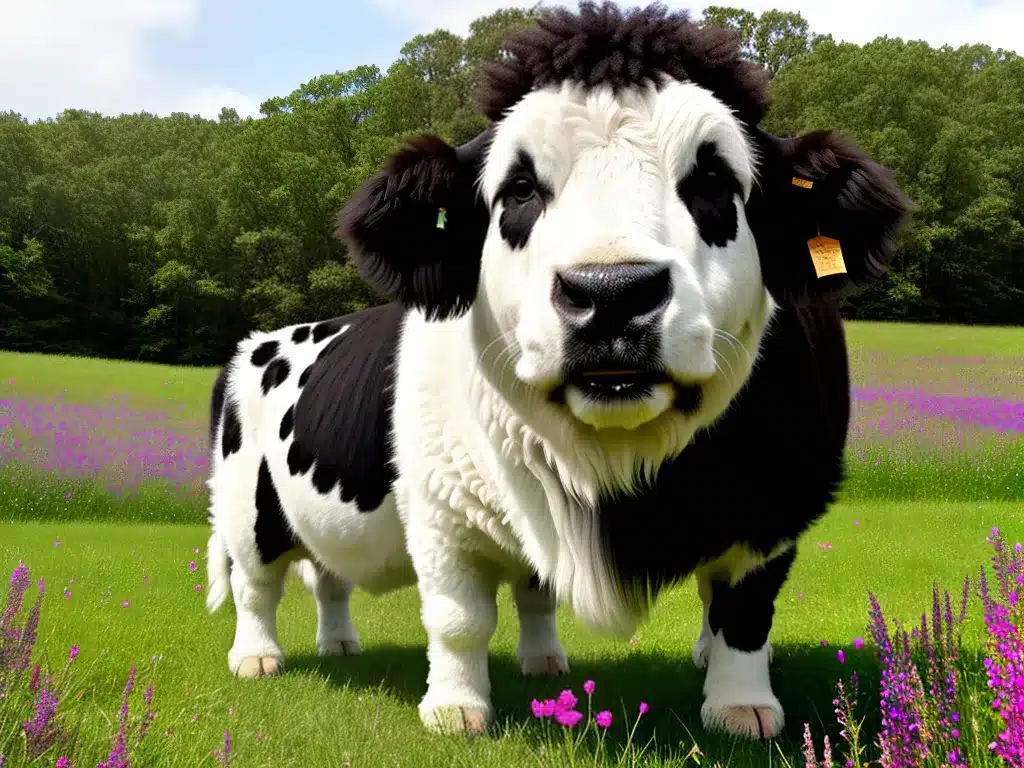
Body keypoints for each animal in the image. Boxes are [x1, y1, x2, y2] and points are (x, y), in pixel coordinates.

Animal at [205, 1, 909, 741]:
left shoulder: (777, 501)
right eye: (518, 188)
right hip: (245, 506)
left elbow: (739, 611)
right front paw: (455, 708)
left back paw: (356, 645)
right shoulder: (439, 506)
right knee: (258, 585)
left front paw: (739, 706)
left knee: (333, 578)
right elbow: (458, 617)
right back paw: (257, 659)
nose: (612, 291)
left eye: (715, 181)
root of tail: (258, 343)